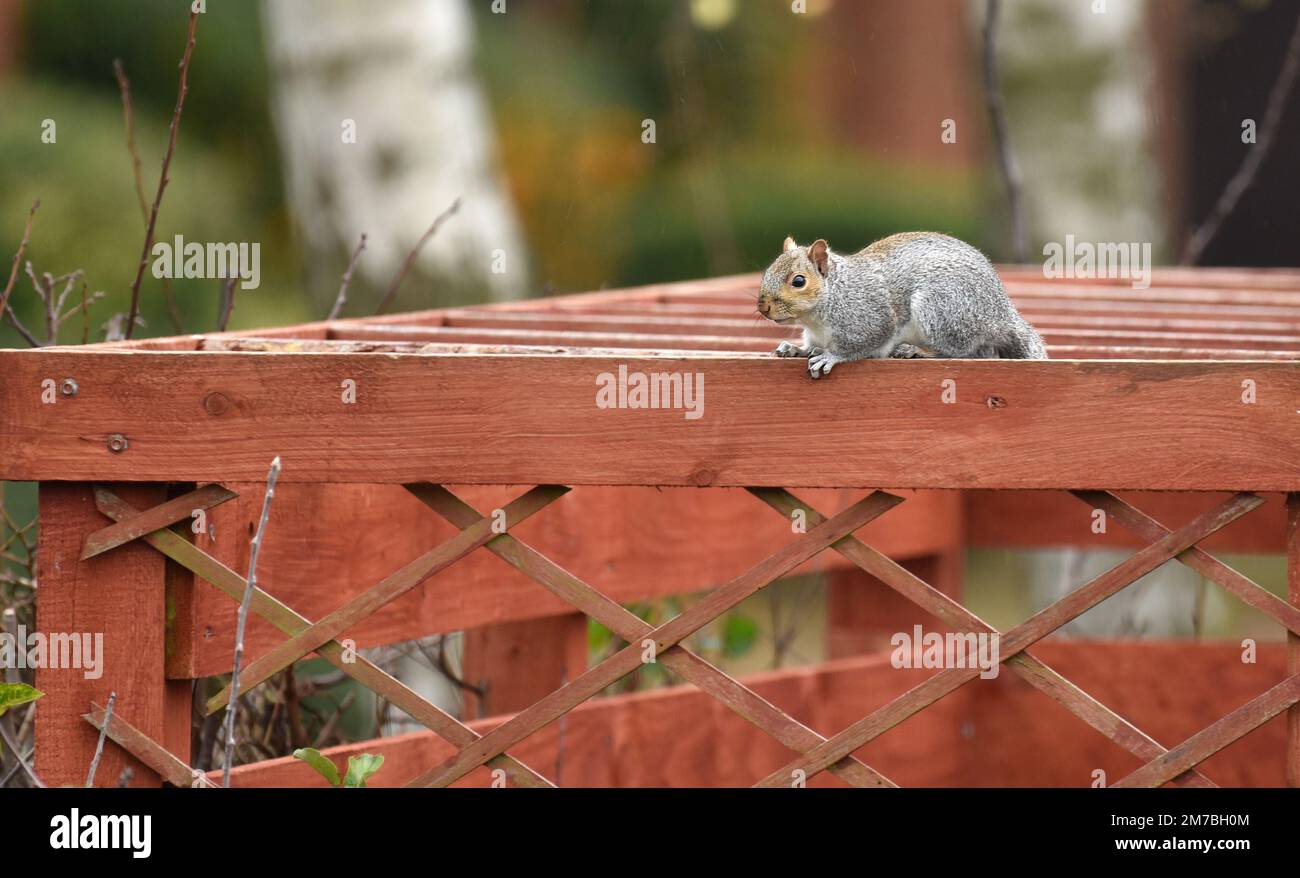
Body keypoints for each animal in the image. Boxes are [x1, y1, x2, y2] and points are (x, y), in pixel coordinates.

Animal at [756, 232, 1047, 378]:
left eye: (799, 281)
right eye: (768, 270)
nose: (763, 308)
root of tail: (999, 313)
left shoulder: (869, 316)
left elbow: (863, 342)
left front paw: (830, 356)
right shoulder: (816, 333)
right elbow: (809, 345)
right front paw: (795, 349)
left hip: (941, 309)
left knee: (961, 350)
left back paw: (917, 351)